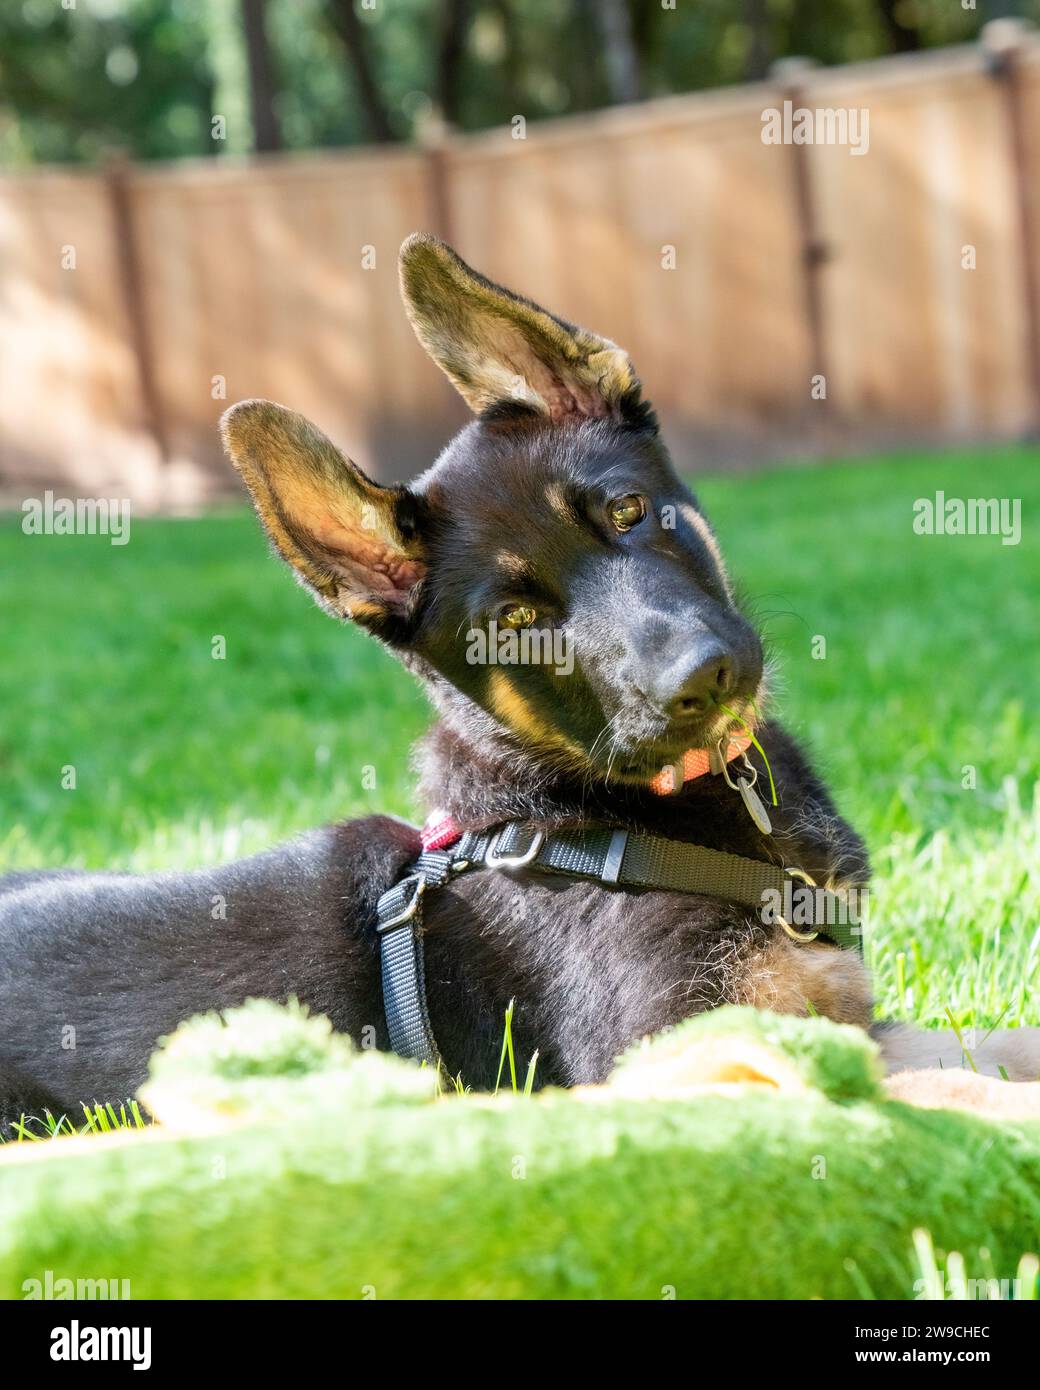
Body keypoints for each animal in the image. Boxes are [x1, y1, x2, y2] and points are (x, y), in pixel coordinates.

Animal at [0, 239, 1034, 1128]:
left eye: (627, 510)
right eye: (516, 624)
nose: (701, 681)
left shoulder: (844, 1021)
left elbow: (991, 1047)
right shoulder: (685, 1062)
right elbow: (949, 1094)